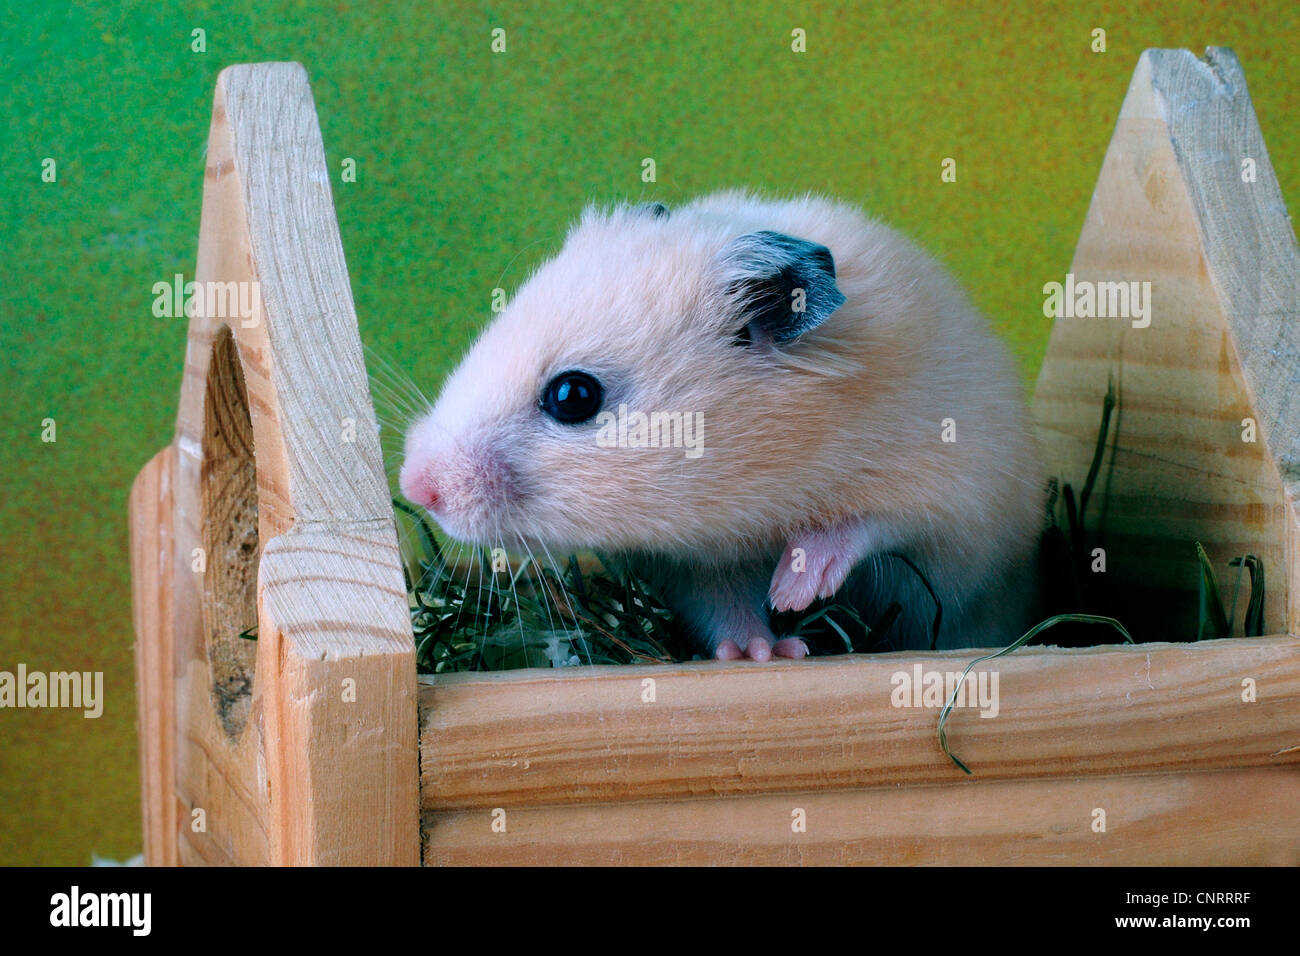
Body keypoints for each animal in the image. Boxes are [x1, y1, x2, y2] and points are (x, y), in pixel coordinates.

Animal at [399, 191, 1045, 661]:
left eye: (573, 396)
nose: (413, 486)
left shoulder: (952, 489)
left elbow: (865, 524)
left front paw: (792, 590)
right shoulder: (696, 561)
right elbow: (724, 604)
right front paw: (768, 650)